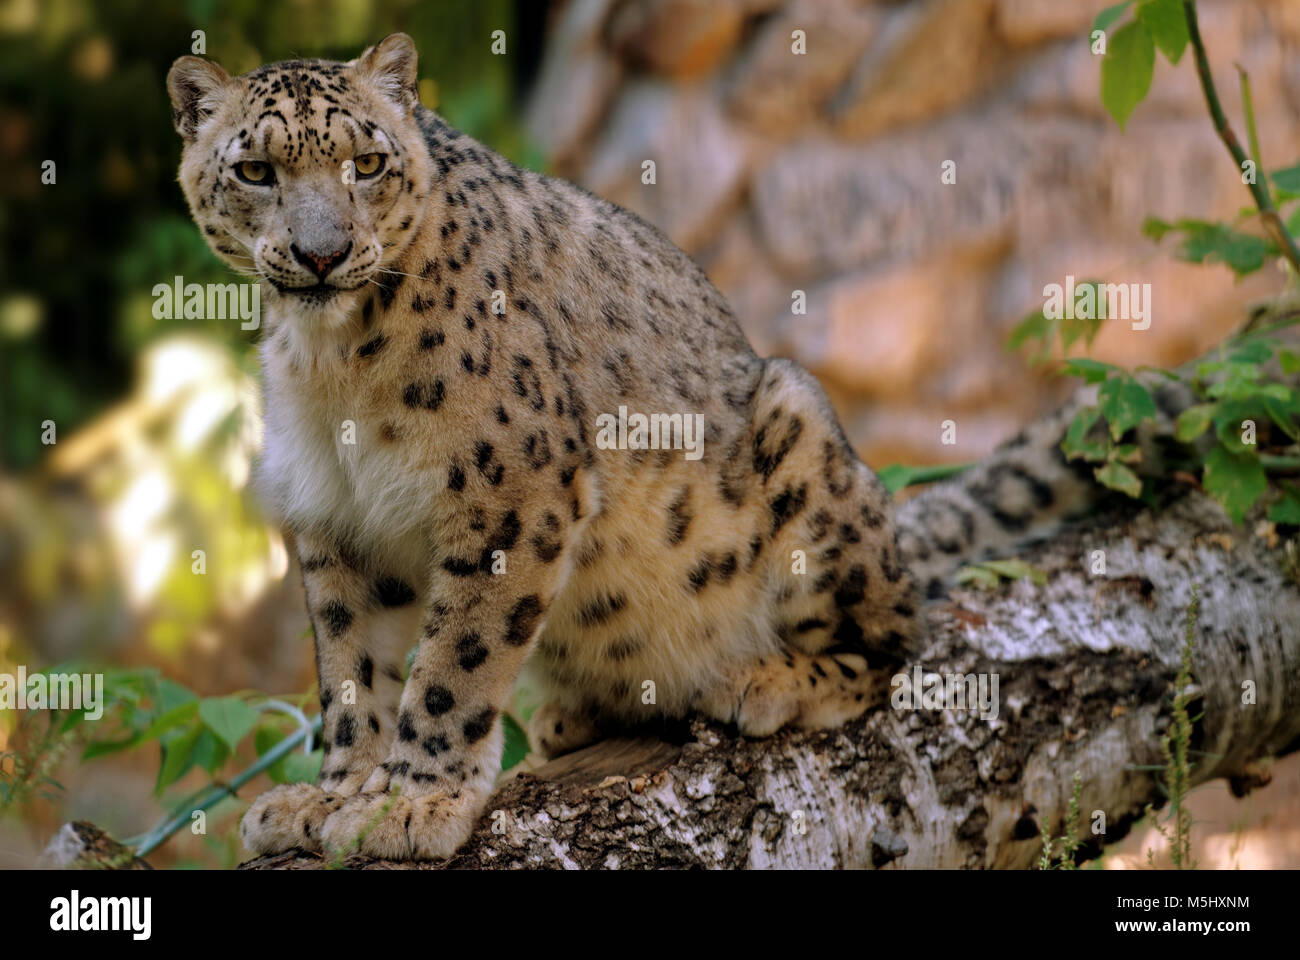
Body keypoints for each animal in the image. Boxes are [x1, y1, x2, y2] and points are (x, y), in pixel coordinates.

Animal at [166, 33, 1094, 862]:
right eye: (256, 171)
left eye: (365, 163)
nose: (320, 254)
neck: (331, 362)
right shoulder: (336, 517)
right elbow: (353, 670)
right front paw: (330, 798)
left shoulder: (509, 492)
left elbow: (456, 663)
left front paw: (410, 806)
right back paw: (576, 715)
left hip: (801, 437)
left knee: (898, 639)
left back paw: (762, 681)